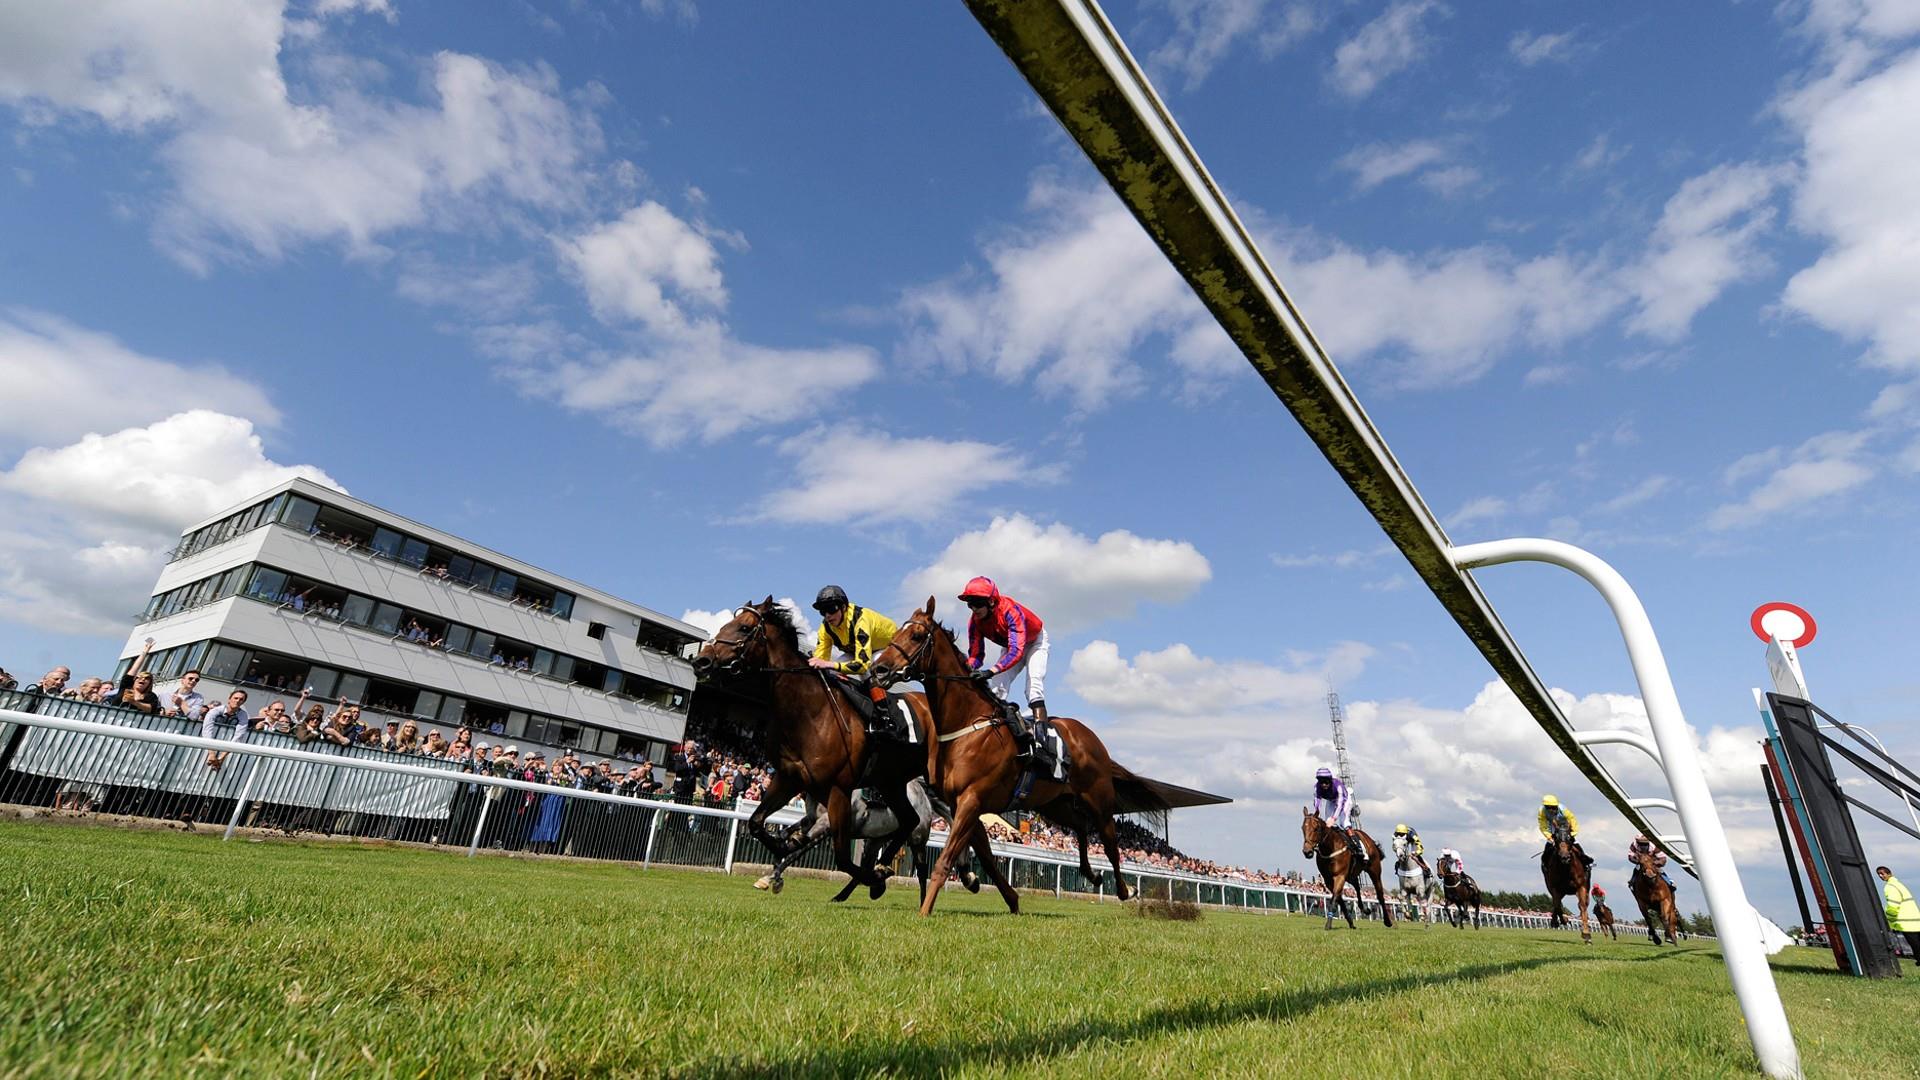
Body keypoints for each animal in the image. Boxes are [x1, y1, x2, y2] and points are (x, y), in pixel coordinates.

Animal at [864, 599, 1159, 910]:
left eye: (917, 636)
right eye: (897, 632)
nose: (879, 669)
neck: (968, 723)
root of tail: (1092, 738)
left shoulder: (972, 800)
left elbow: (944, 861)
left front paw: (924, 911)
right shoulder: (962, 805)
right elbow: (986, 858)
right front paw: (1012, 901)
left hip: (1099, 799)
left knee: (1110, 842)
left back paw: (1126, 890)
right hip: (1054, 802)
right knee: (1080, 825)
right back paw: (1091, 874)